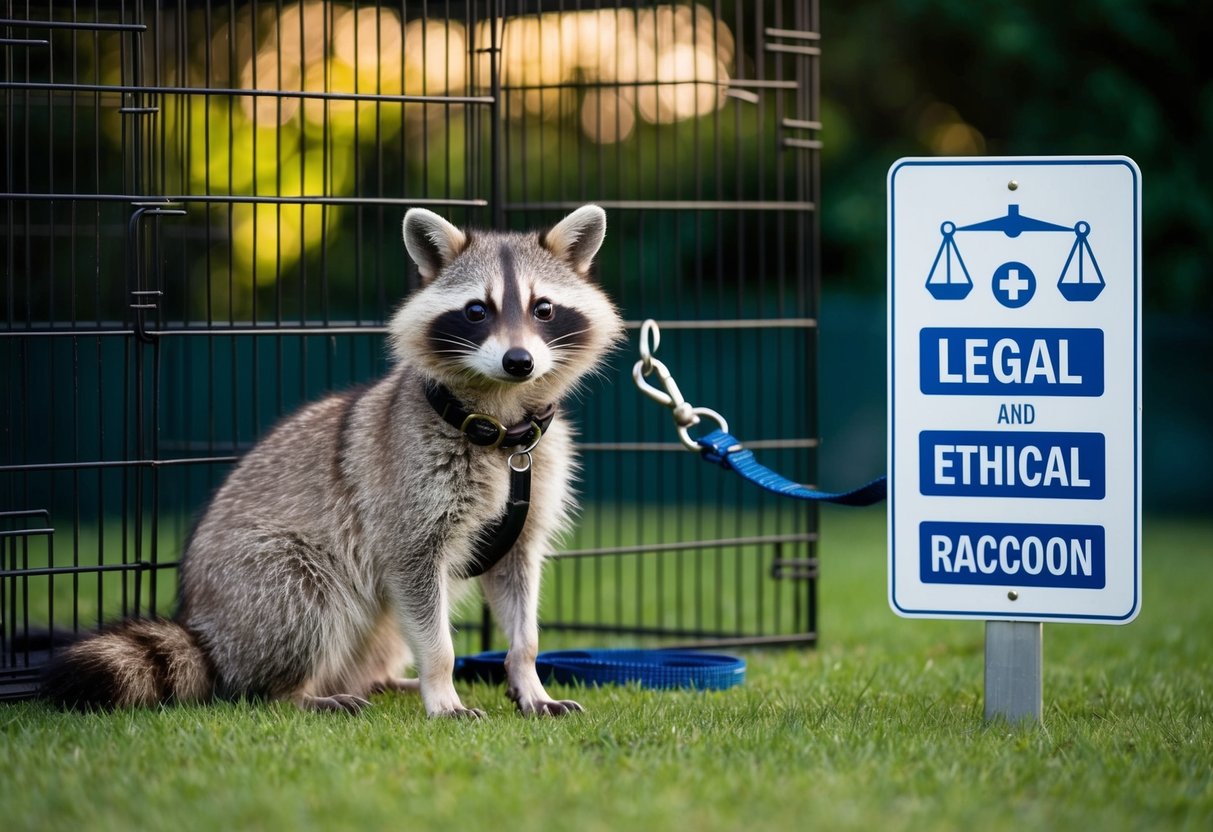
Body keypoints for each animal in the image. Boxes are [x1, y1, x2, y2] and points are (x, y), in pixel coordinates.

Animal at [42, 205, 624, 717]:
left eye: (543, 308)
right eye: (477, 311)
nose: (518, 361)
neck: (502, 425)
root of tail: (204, 630)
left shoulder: (531, 497)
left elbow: (522, 605)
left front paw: (527, 677)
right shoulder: (408, 502)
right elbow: (427, 614)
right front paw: (442, 685)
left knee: (381, 627)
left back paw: (383, 678)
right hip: (260, 578)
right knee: (305, 604)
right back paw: (295, 692)